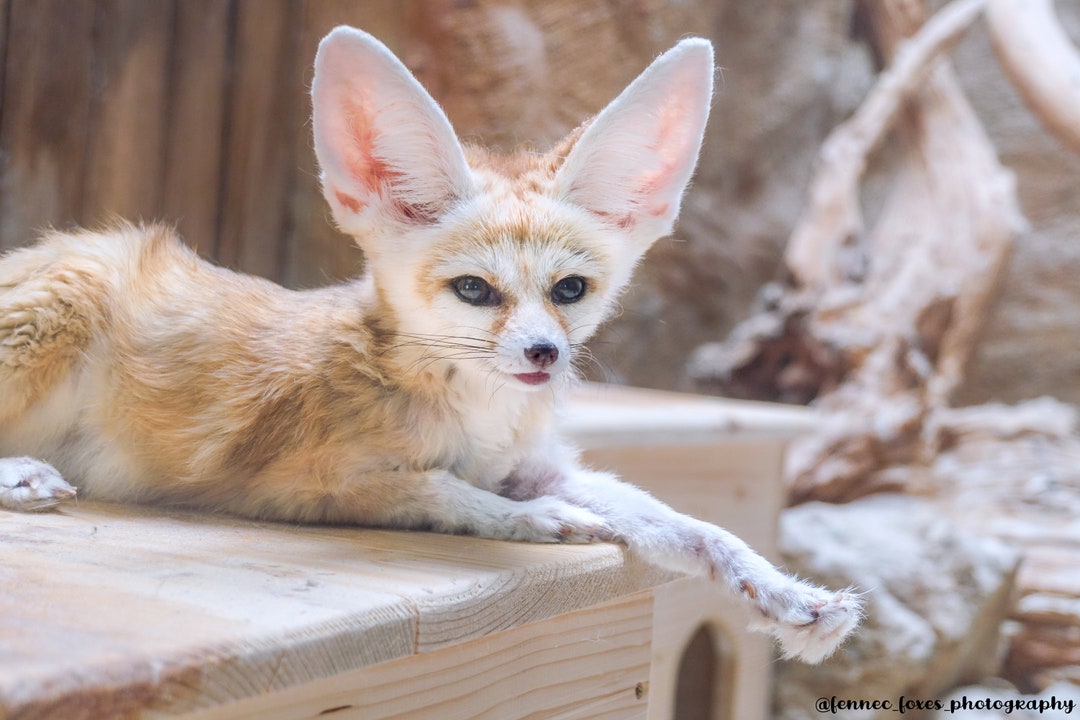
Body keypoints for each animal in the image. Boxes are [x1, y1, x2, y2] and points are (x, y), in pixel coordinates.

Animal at [0, 26, 860, 662]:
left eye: (569, 291)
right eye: (475, 290)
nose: (544, 355)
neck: (474, 412)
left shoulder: (532, 464)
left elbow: (689, 524)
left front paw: (787, 592)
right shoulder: (298, 481)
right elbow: (441, 491)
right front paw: (538, 524)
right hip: (64, 300)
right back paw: (21, 474)